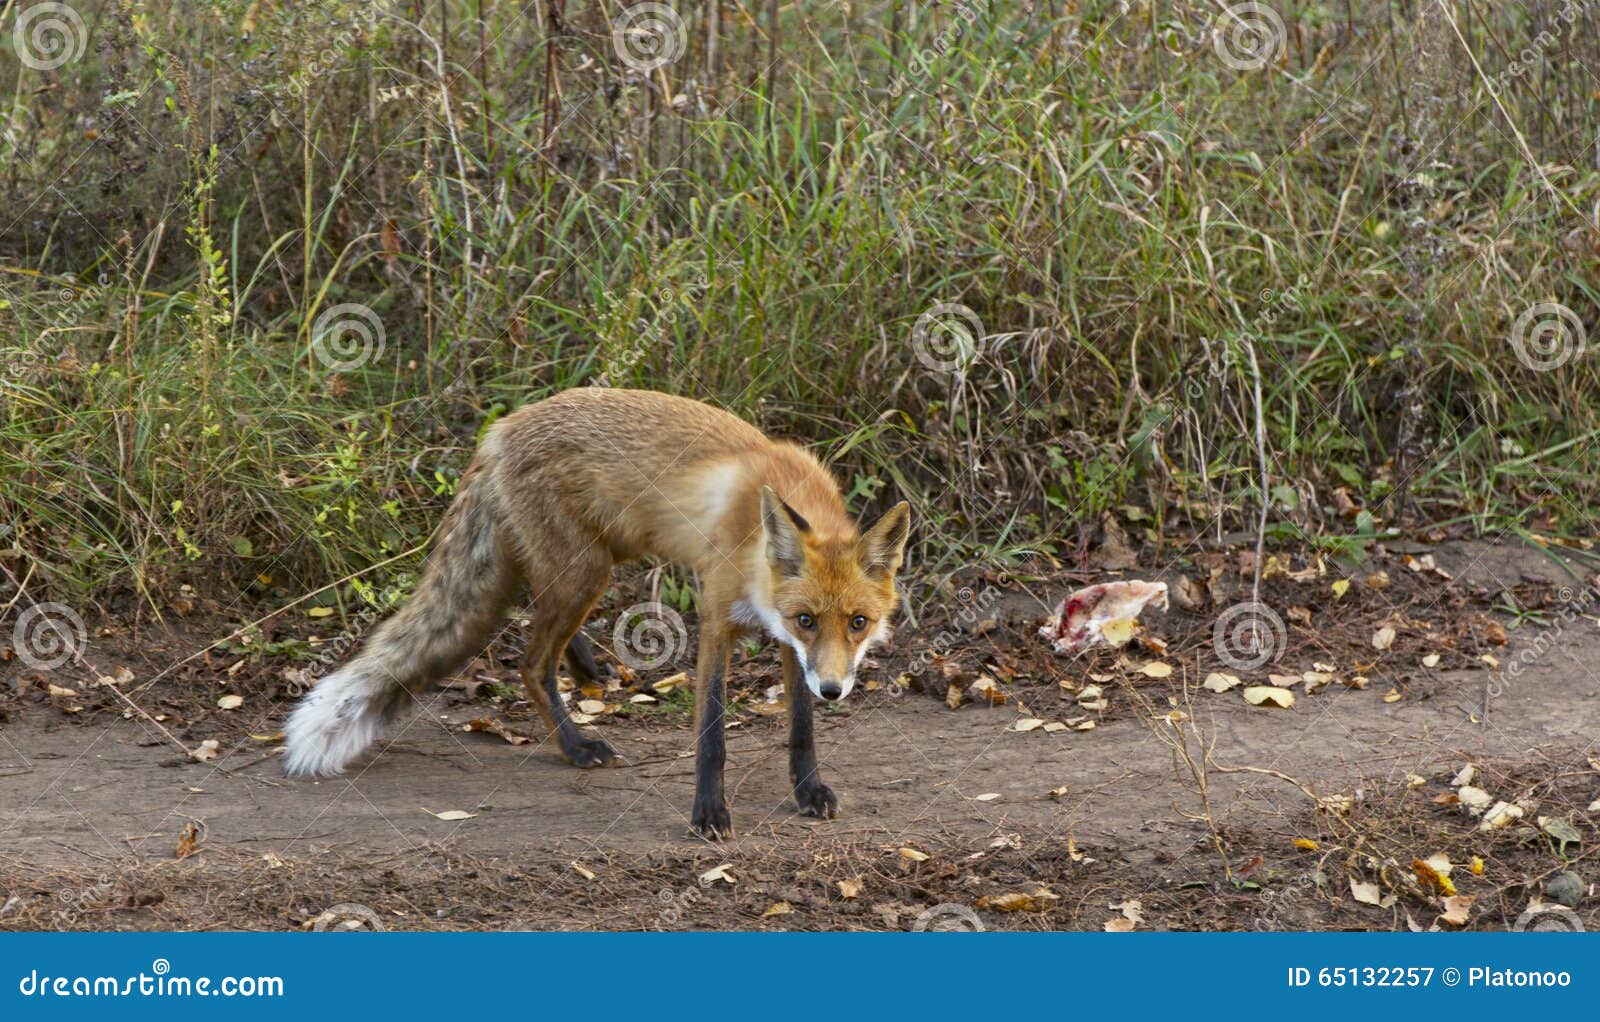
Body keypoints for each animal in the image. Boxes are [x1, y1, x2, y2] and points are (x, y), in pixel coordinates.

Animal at [282, 387, 911, 838]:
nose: (835, 690)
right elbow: (712, 731)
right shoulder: (719, 620)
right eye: (810, 619)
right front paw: (708, 812)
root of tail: (499, 432)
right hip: (587, 570)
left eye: (857, 623)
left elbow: (801, 725)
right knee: (531, 662)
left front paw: (808, 790)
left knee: (540, 623)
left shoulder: (787, 642)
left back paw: (586, 666)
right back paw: (574, 743)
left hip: (594, 561)